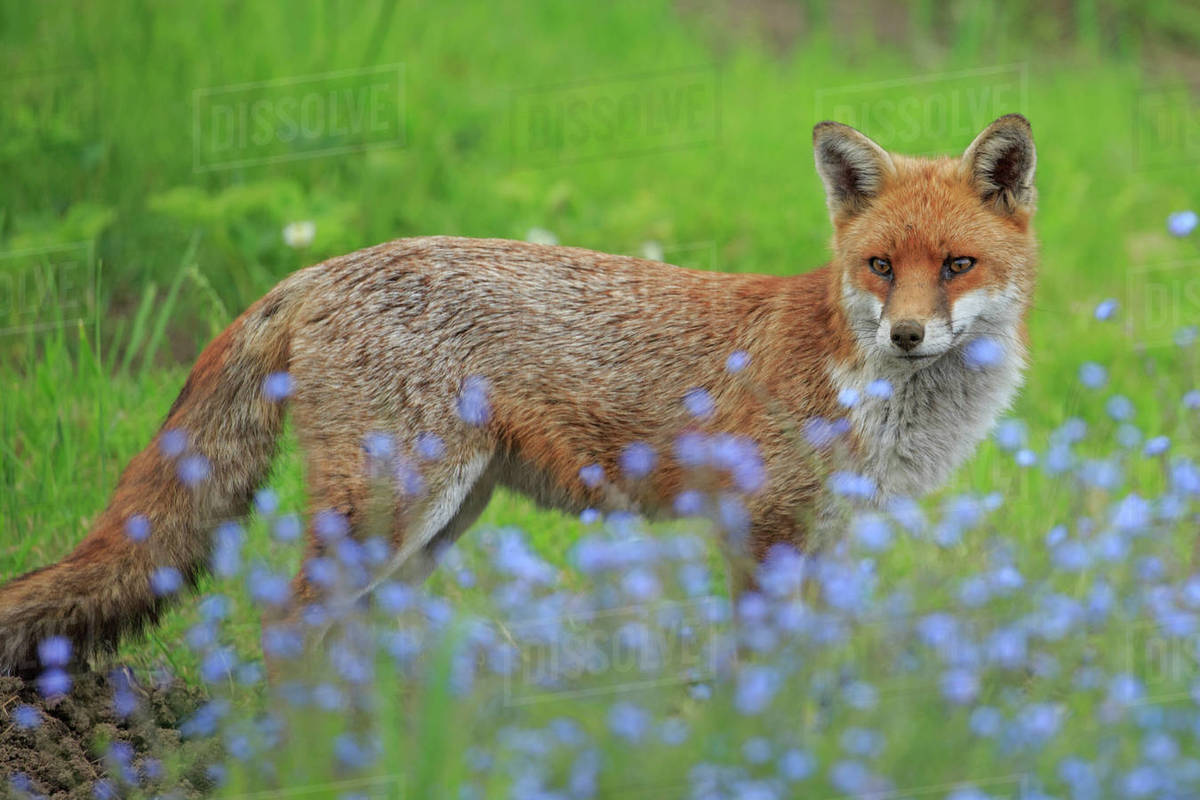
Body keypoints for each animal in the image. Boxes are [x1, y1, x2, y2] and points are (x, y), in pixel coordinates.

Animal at [0, 114, 1037, 675]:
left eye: (955, 265)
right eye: (879, 267)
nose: (907, 335)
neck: (871, 396)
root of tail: (321, 267)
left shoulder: (823, 542)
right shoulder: (762, 529)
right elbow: (758, 677)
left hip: (435, 527)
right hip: (397, 510)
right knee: (289, 629)